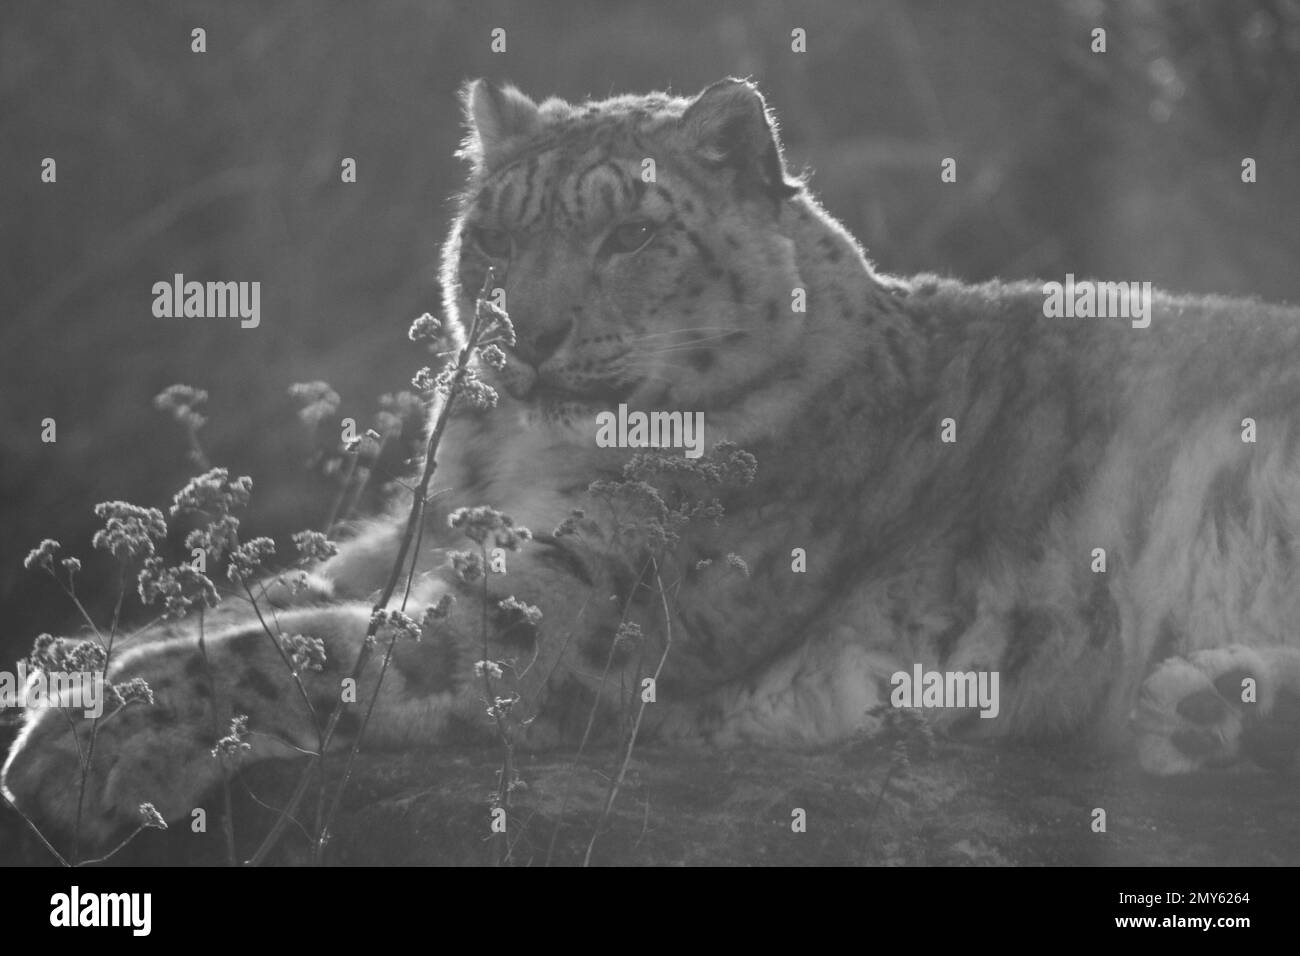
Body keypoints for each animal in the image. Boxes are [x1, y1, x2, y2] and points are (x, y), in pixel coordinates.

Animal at [6, 77, 1300, 848]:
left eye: (631, 232)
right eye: (494, 234)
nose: (524, 333)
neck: (511, 468)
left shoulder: (565, 609)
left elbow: (297, 646)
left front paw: (85, 731)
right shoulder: (407, 538)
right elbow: (275, 591)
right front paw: (62, 658)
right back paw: (1205, 708)